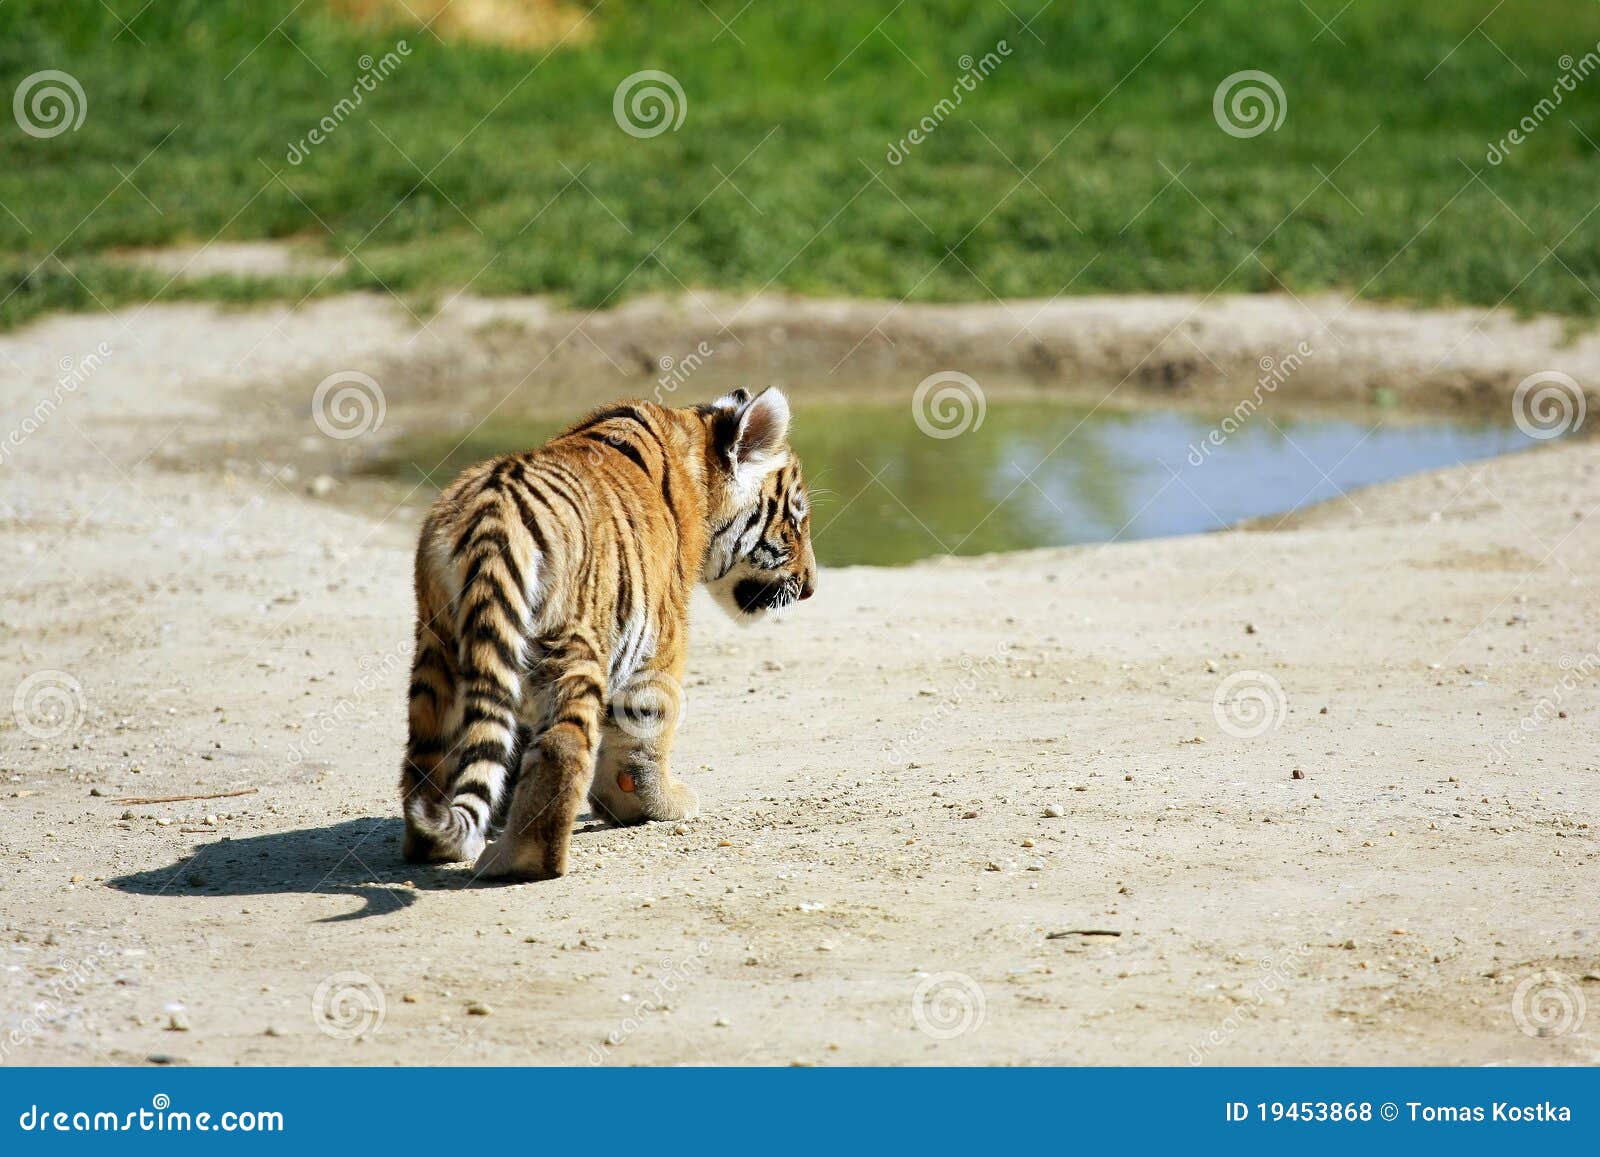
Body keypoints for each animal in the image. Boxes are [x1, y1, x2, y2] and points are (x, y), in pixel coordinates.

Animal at [399, 386, 816, 881]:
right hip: (572, 643)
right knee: (562, 745)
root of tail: (492, 518)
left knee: (428, 753)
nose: (810, 587)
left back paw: (434, 844)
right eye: (796, 522)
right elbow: (647, 730)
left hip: (437, 647)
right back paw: (522, 862)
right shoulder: (664, 637)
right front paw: (652, 805)